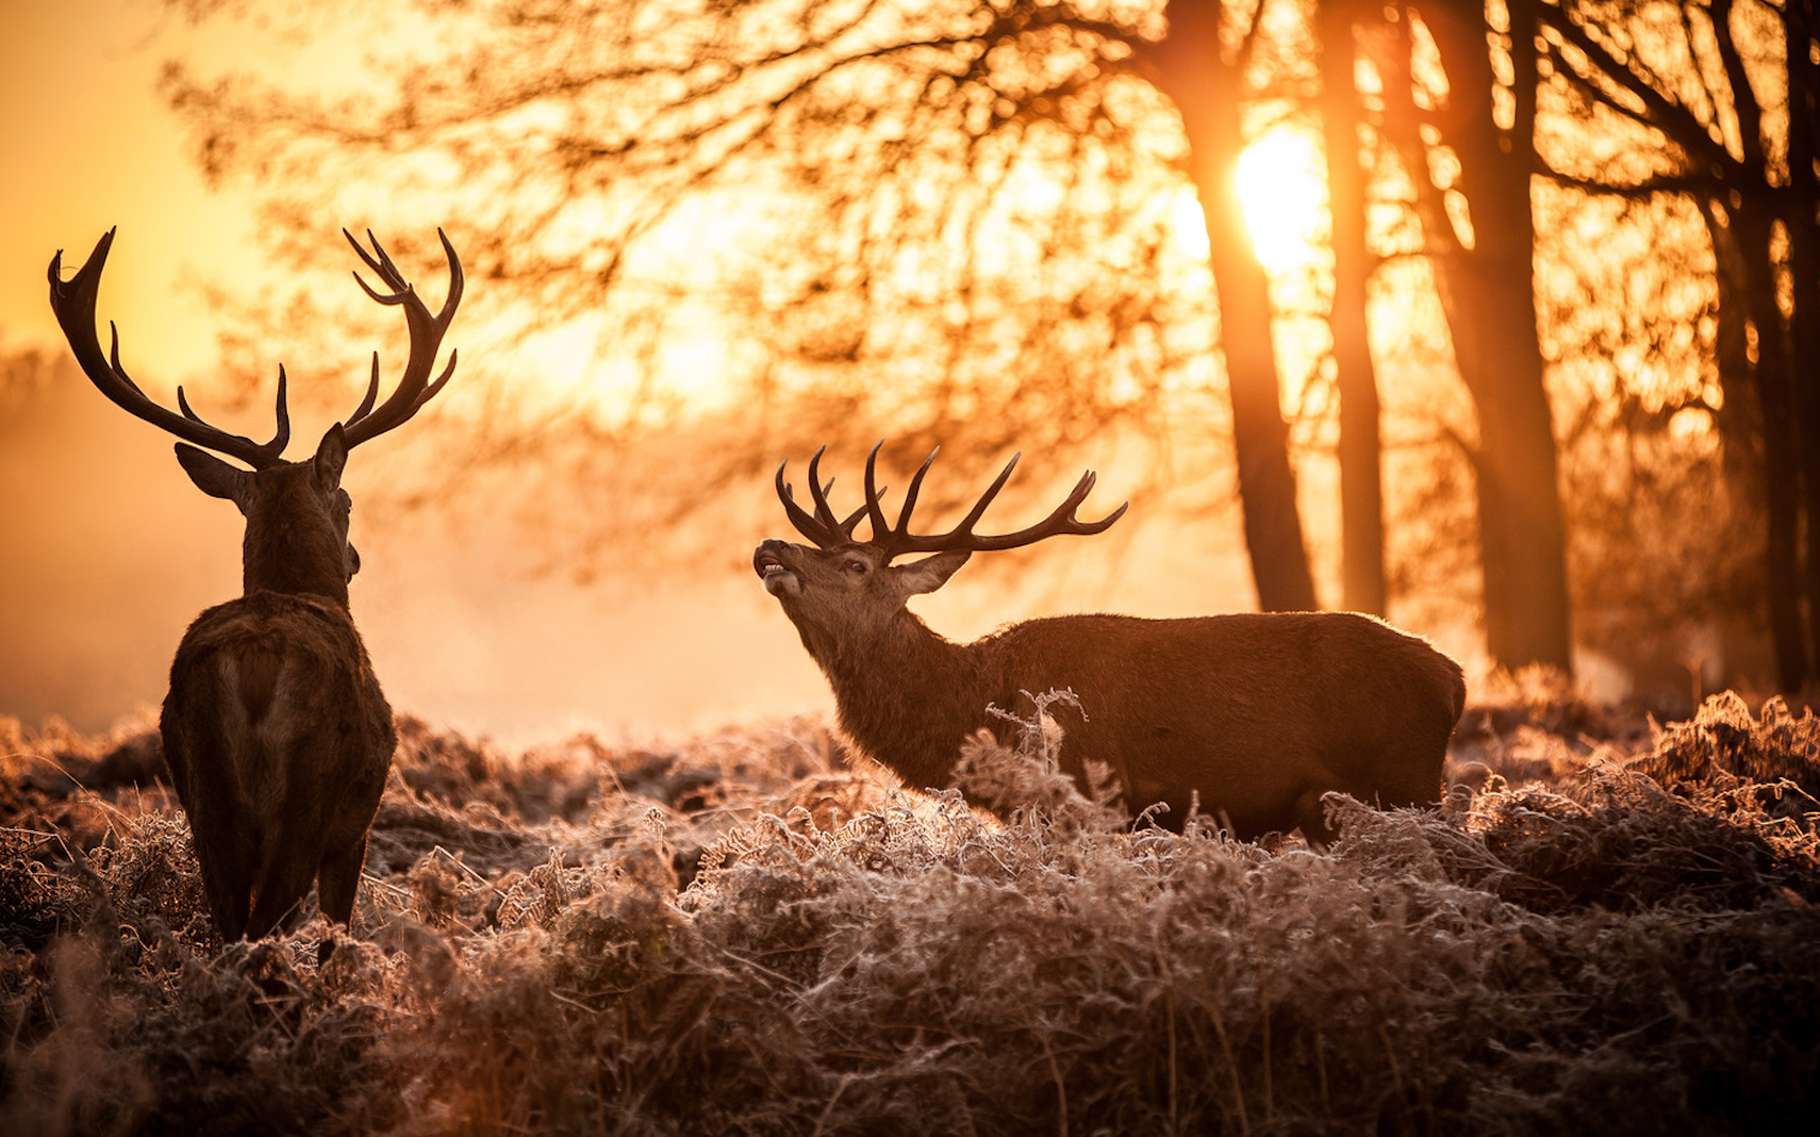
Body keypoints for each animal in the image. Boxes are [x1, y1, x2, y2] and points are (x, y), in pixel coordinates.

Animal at [46, 226, 463, 940]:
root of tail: (256, 664)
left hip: (204, 793)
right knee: (265, 921)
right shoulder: (355, 827)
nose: (356, 558)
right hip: (308, 795)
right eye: (347, 501)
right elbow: (335, 935)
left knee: (226, 922)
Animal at [754, 445, 1466, 843]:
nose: (770, 547)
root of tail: (1453, 678)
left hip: (1405, 780)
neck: (974, 705)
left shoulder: (1084, 792)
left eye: (856, 565)